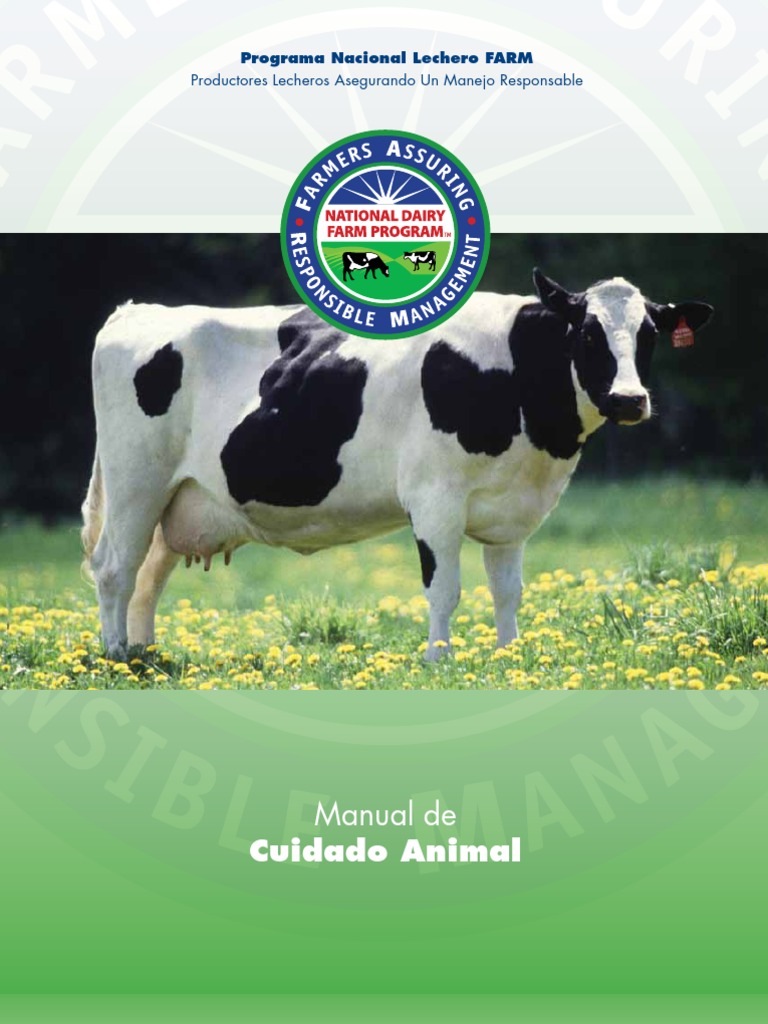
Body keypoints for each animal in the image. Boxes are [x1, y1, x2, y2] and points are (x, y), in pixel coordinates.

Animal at [82, 269, 713, 661]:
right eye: (586, 332)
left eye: (649, 334)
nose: (629, 400)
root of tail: (136, 312)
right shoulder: (434, 498)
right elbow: (444, 590)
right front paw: (439, 659)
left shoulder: (512, 513)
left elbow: (508, 592)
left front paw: (509, 656)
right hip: (136, 481)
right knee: (114, 569)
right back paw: (117, 658)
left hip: (177, 498)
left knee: (147, 579)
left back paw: (145, 653)